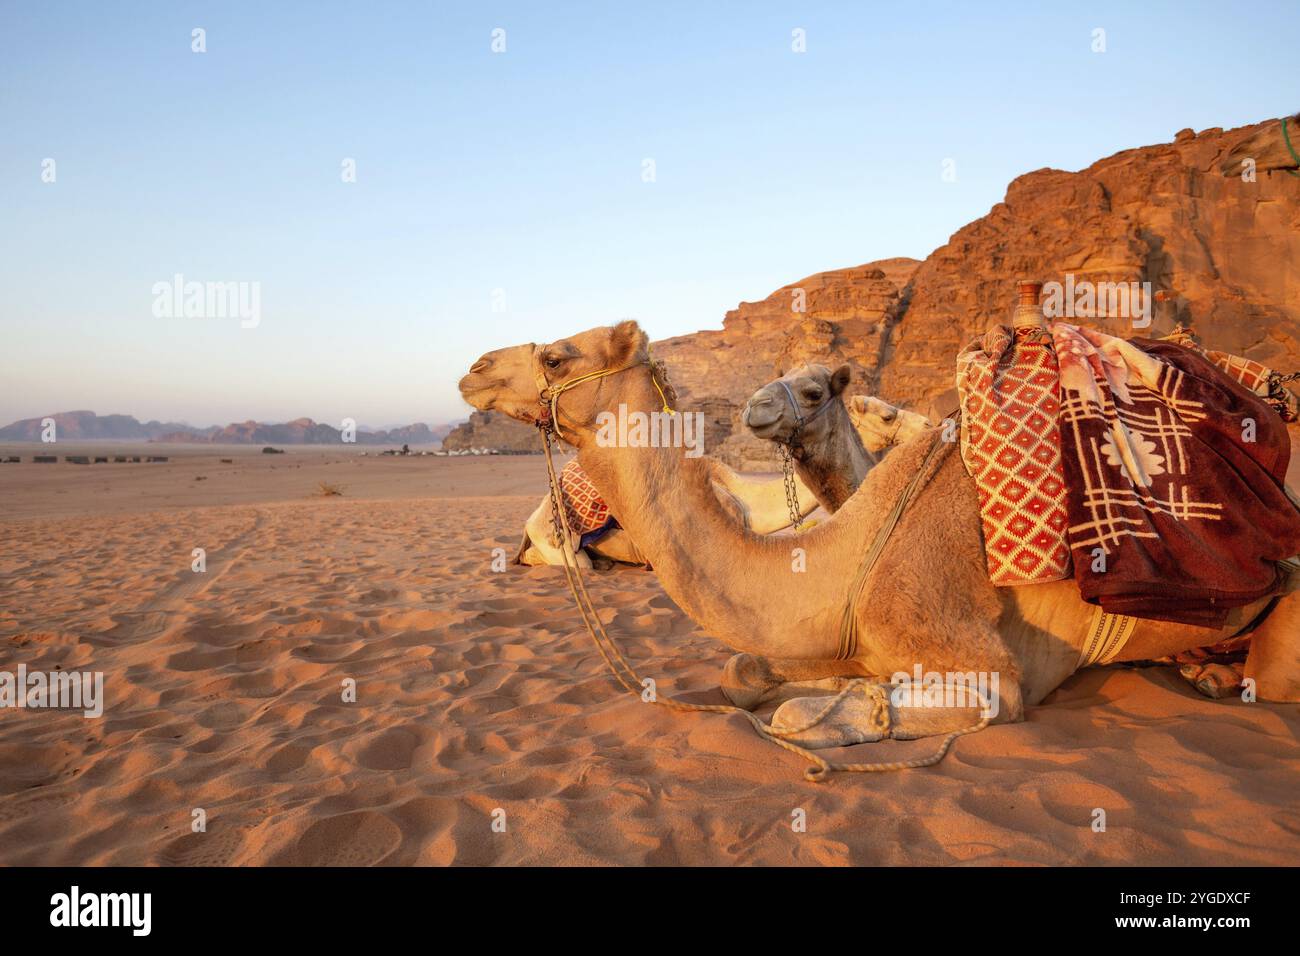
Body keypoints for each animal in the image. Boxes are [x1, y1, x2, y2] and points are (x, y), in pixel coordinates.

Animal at [460, 322, 1300, 754]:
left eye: (557, 354)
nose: (473, 368)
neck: (847, 554)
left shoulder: (986, 663)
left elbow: (803, 716)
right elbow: (745, 673)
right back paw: (1206, 670)